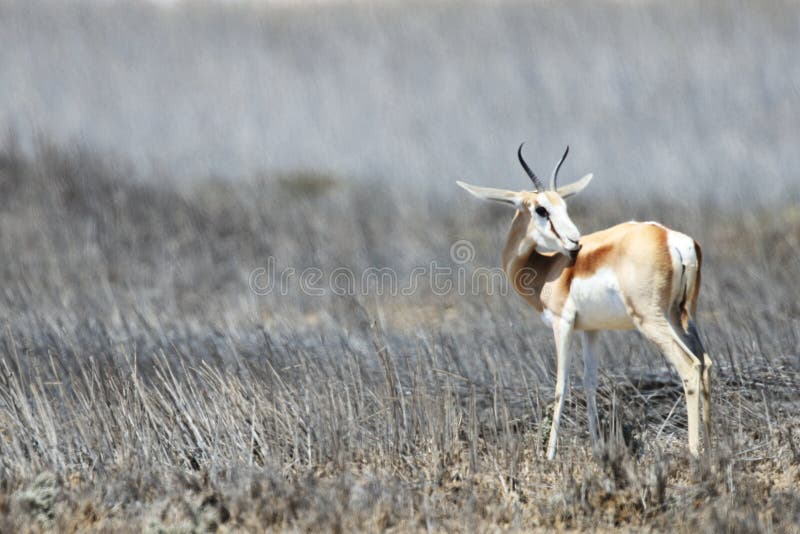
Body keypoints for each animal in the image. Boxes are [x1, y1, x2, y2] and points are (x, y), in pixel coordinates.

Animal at [457, 144, 711, 460]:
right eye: (542, 209)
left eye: (564, 206)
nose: (575, 243)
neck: (547, 270)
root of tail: (671, 238)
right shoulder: (592, 330)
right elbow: (591, 382)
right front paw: (597, 447)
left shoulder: (562, 324)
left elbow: (561, 383)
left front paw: (550, 455)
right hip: (682, 316)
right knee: (706, 362)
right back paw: (713, 444)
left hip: (651, 320)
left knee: (689, 367)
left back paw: (695, 452)